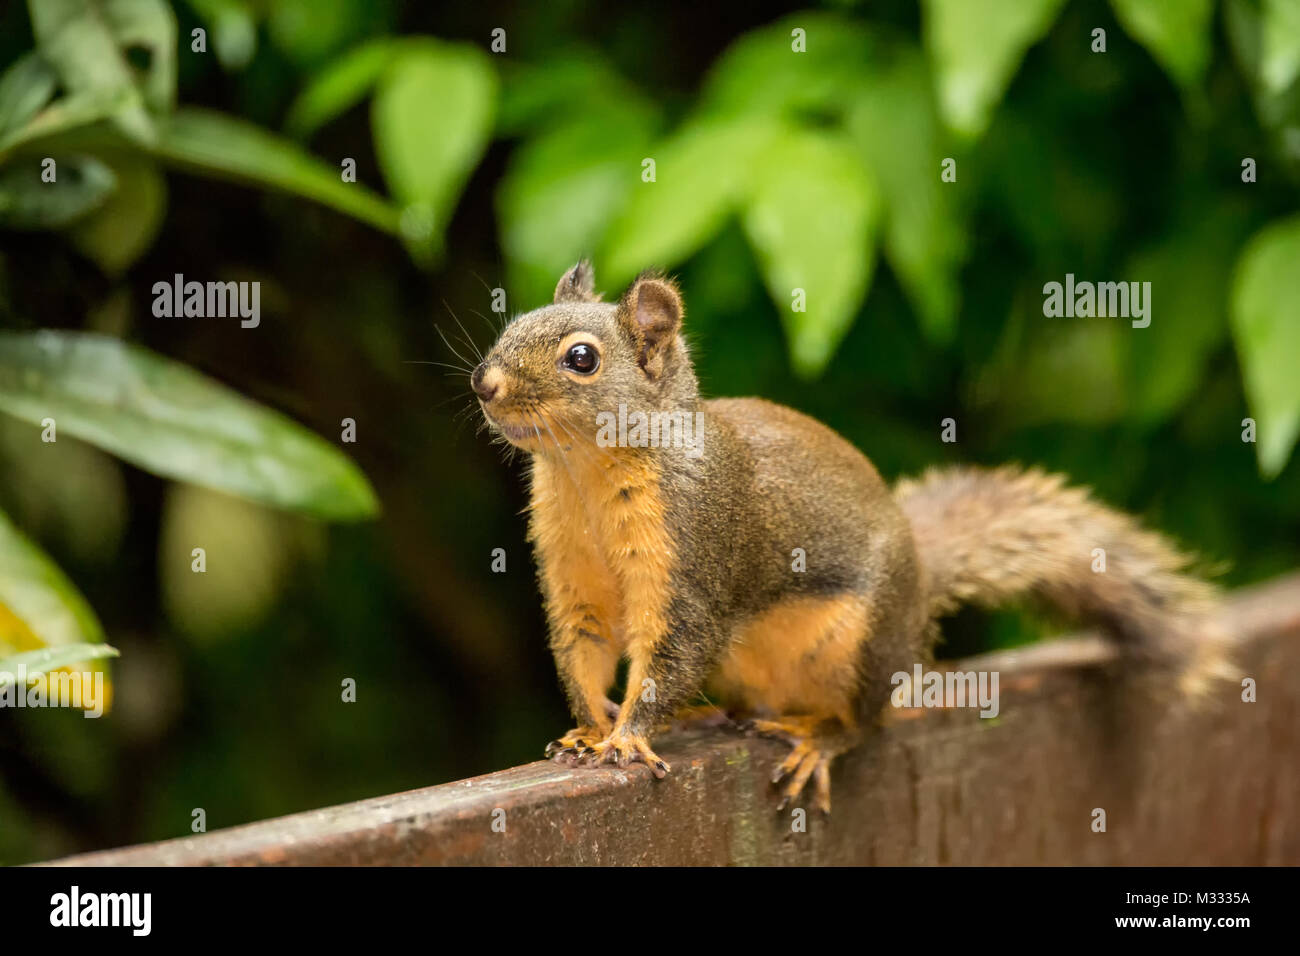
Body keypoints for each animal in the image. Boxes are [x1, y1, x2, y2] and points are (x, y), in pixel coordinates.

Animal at [470, 260, 1232, 813]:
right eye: (514, 324)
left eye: (581, 359)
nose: (485, 382)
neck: (582, 476)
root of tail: (920, 590)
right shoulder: (572, 570)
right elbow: (582, 647)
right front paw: (590, 727)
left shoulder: (693, 552)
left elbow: (673, 649)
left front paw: (629, 736)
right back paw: (708, 718)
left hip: (861, 644)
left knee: (869, 720)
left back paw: (819, 737)